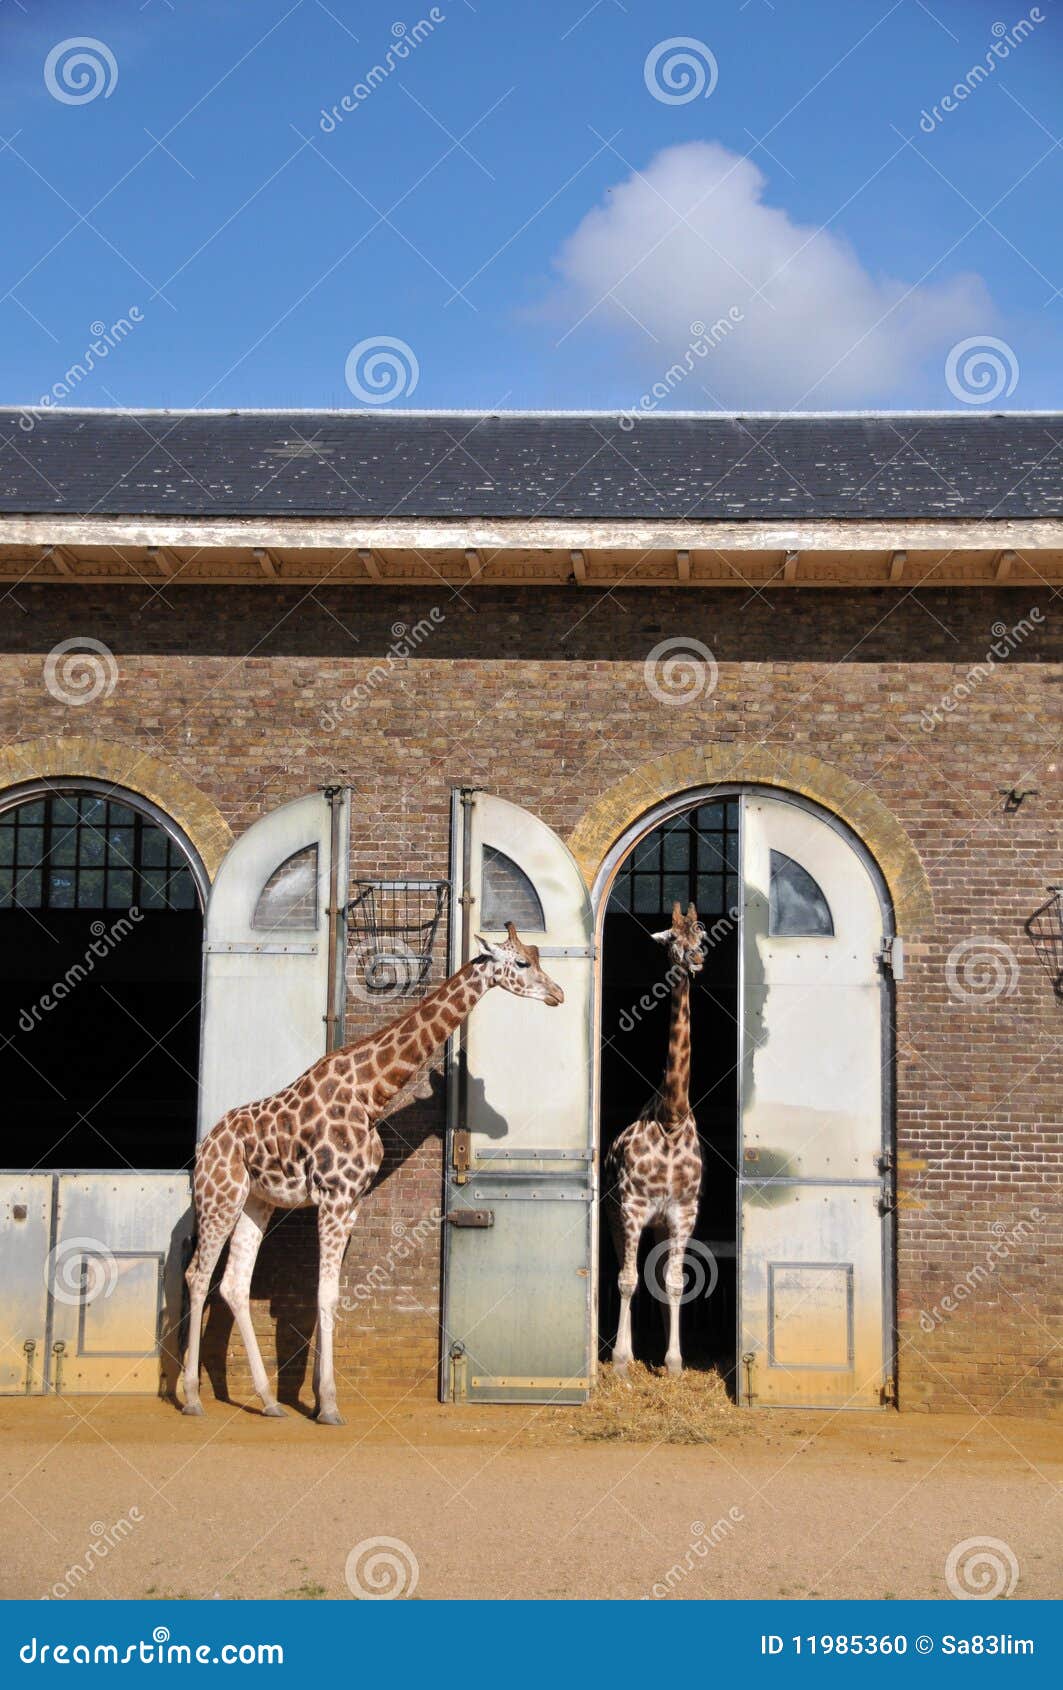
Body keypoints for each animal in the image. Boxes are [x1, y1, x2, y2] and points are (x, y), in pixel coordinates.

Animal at [181, 923, 563, 1423]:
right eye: (521, 963)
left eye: (537, 957)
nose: (558, 993)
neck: (370, 1093)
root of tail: (205, 1146)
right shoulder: (333, 1197)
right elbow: (323, 1297)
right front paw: (328, 1406)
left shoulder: (353, 1203)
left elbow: (332, 1296)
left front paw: (317, 1398)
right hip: (219, 1198)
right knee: (197, 1276)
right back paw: (190, 1397)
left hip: (257, 1202)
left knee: (233, 1284)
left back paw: (267, 1401)